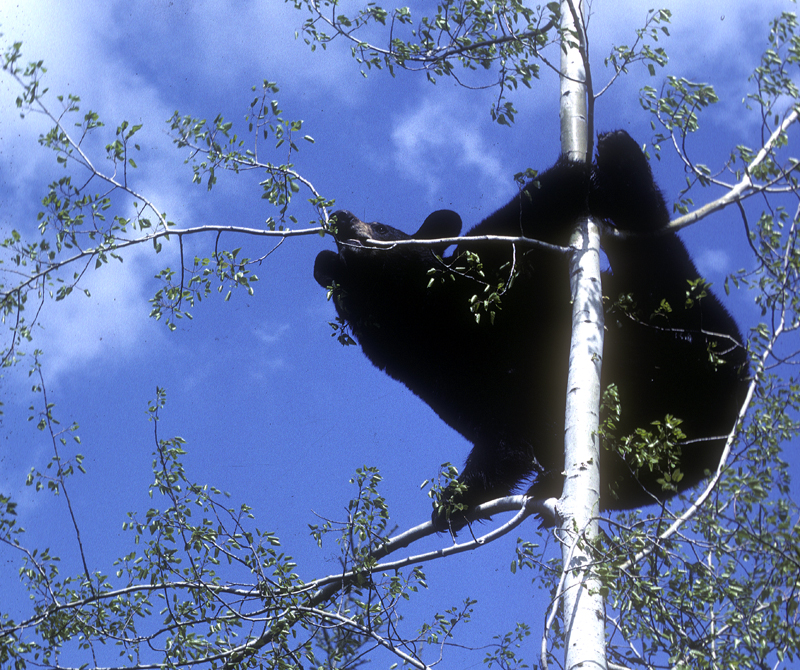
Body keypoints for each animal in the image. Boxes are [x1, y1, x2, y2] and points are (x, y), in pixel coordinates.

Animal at [314, 130, 749, 532]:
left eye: (382, 227)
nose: (339, 219)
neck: (425, 315)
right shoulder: (453, 378)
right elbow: (505, 440)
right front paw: (455, 501)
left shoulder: (489, 268)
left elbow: (532, 208)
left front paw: (580, 165)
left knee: (662, 264)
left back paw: (621, 157)